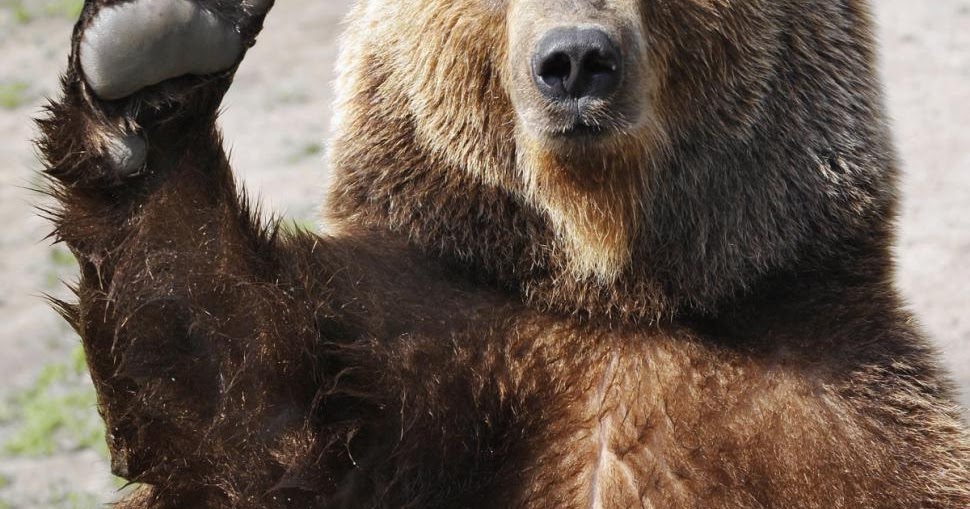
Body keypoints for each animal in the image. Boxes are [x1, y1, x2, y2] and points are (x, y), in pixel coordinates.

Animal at [37, 0, 970, 507]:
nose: (577, 61)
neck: (613, 283)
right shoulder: (428, 350)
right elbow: (232, 394)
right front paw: (153, 61)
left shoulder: (842, 417)